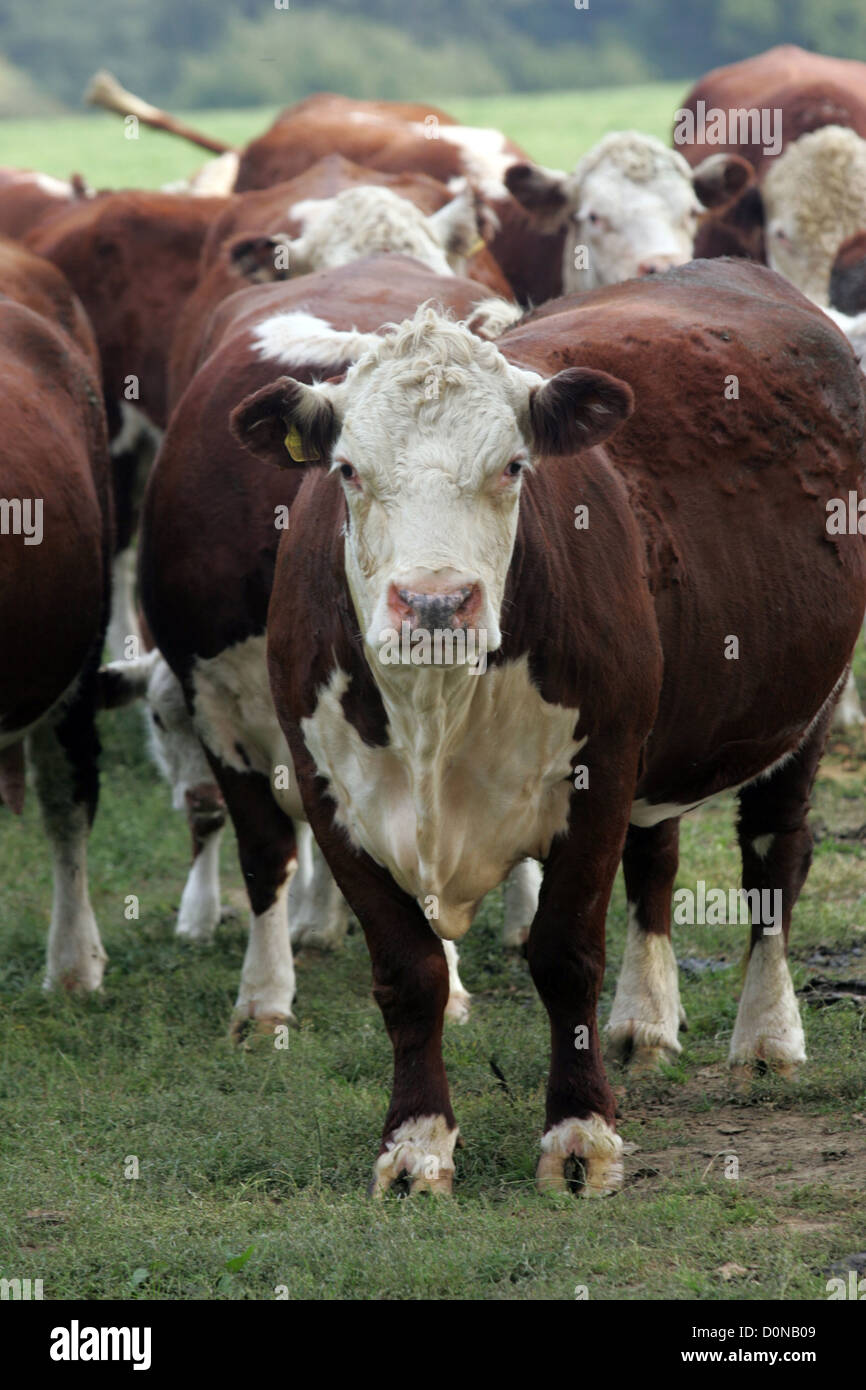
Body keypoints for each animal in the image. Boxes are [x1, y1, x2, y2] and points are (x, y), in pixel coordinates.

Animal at [139, 255, 533, 1037]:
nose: (435, 601)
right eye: (347, 470)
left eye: (511, 465)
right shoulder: (217, 700)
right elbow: (268, 852)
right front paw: (263, 999)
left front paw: (450, 984)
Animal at [229, 258, 866, 1196]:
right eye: (346, 469)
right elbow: (409, 974)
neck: (434, 716)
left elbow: (564, 955)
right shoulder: (330, 791)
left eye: (513, 466)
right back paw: (645, 1024)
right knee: (657, 854)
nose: (434, 603)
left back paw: (765, 1036)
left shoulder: (596, 773)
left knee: (775, 857)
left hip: (804, 704)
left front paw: (580, 1136)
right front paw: (415, 1146)